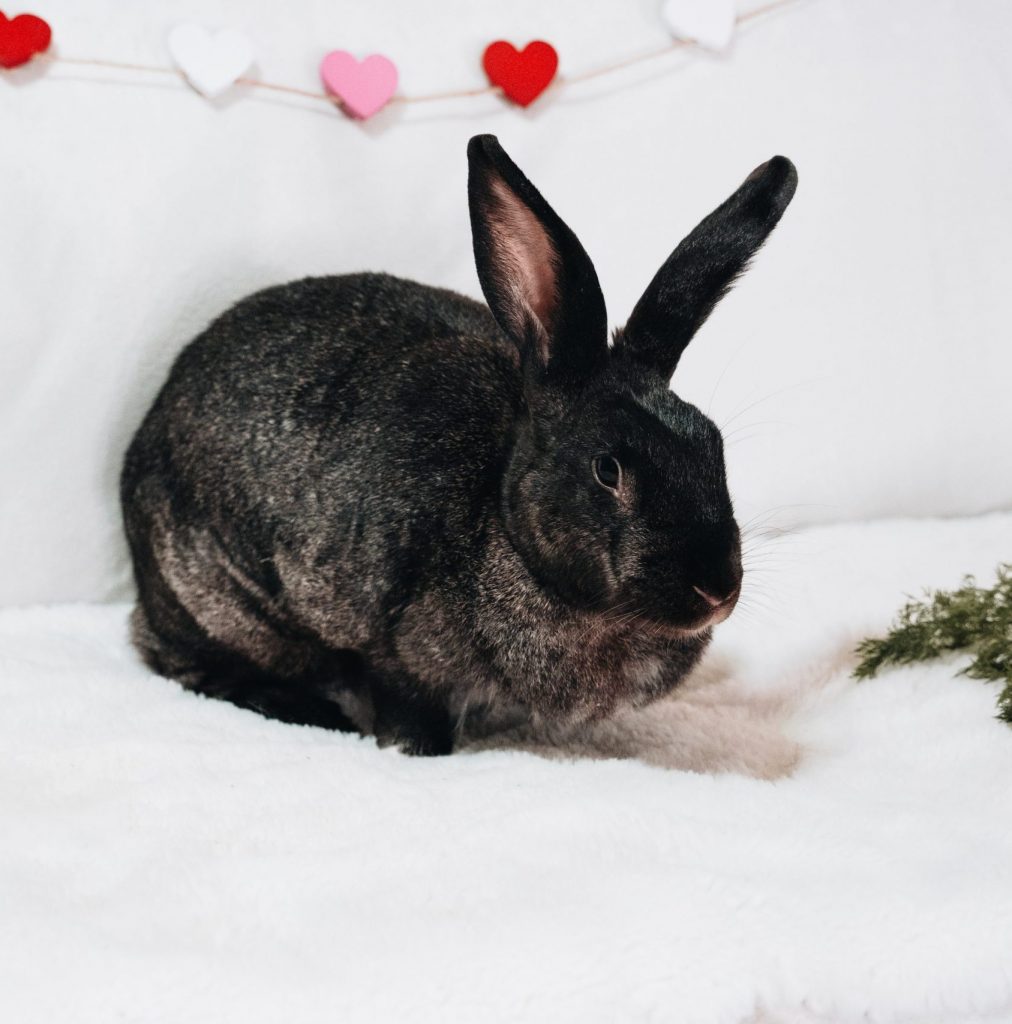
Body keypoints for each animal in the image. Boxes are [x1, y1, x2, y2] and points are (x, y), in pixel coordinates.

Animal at [120, 135, 797, 756]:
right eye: (608, 470)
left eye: (713, 448)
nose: (717, 589)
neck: (504, 523)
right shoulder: (396, 651)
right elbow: (410, 711)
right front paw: (416, 748)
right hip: (221, 604)